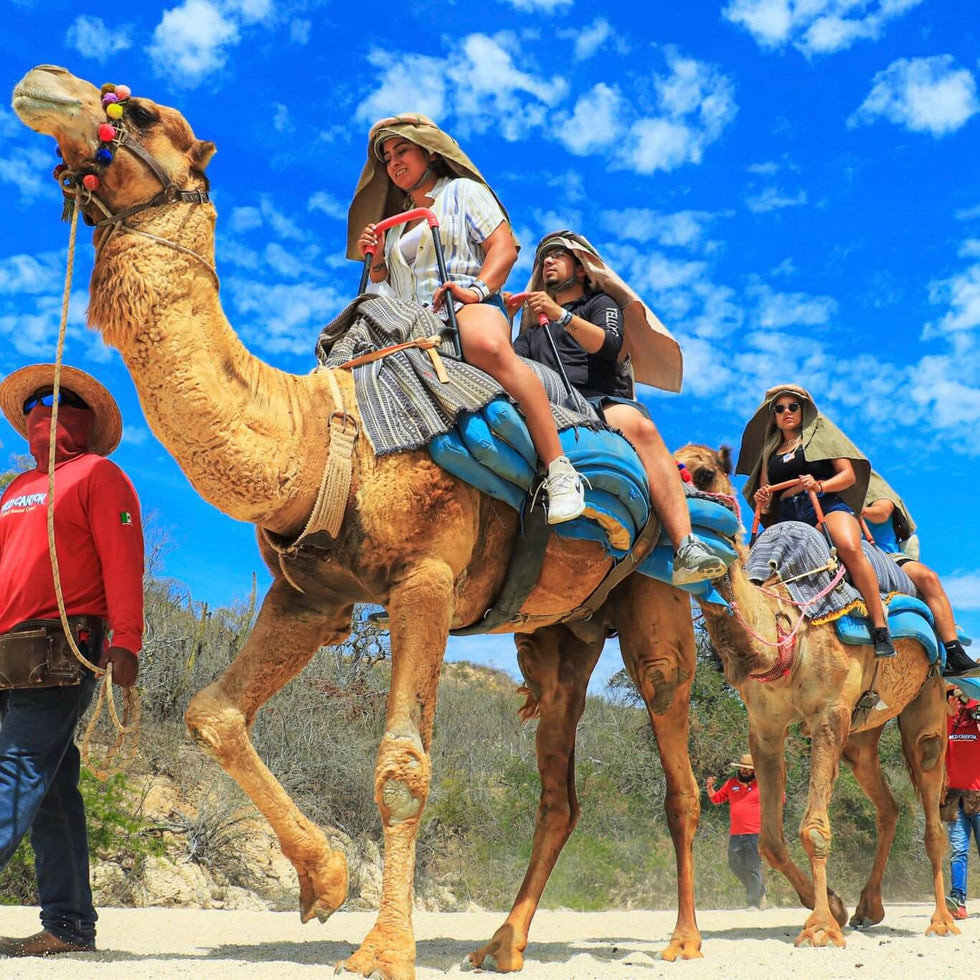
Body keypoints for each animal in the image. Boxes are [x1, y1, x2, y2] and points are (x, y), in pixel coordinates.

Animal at [12, 65, 704, 978]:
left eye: (141, 110)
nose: (41, 83)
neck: (320, 434)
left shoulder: (426, 581)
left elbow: (402, 766)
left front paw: (381, 948)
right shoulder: (312, 596)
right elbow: (213, 713)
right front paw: (324, 882)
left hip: (655, 605)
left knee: (679, 765)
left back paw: (685, 938)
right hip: (558, 632)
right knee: (559, 791)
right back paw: (501, 945)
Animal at [675, 443, 958, 948]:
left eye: (703, 472)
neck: (781, 625)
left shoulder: (826, 714)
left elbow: (814, 828)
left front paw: (821, 927)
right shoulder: (766, 726)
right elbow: (769, 840)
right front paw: (835, 907)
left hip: (926, 701)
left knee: (932, 812)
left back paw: (941, 921)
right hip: (861, 733)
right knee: (888, 805)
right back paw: (868, 907)